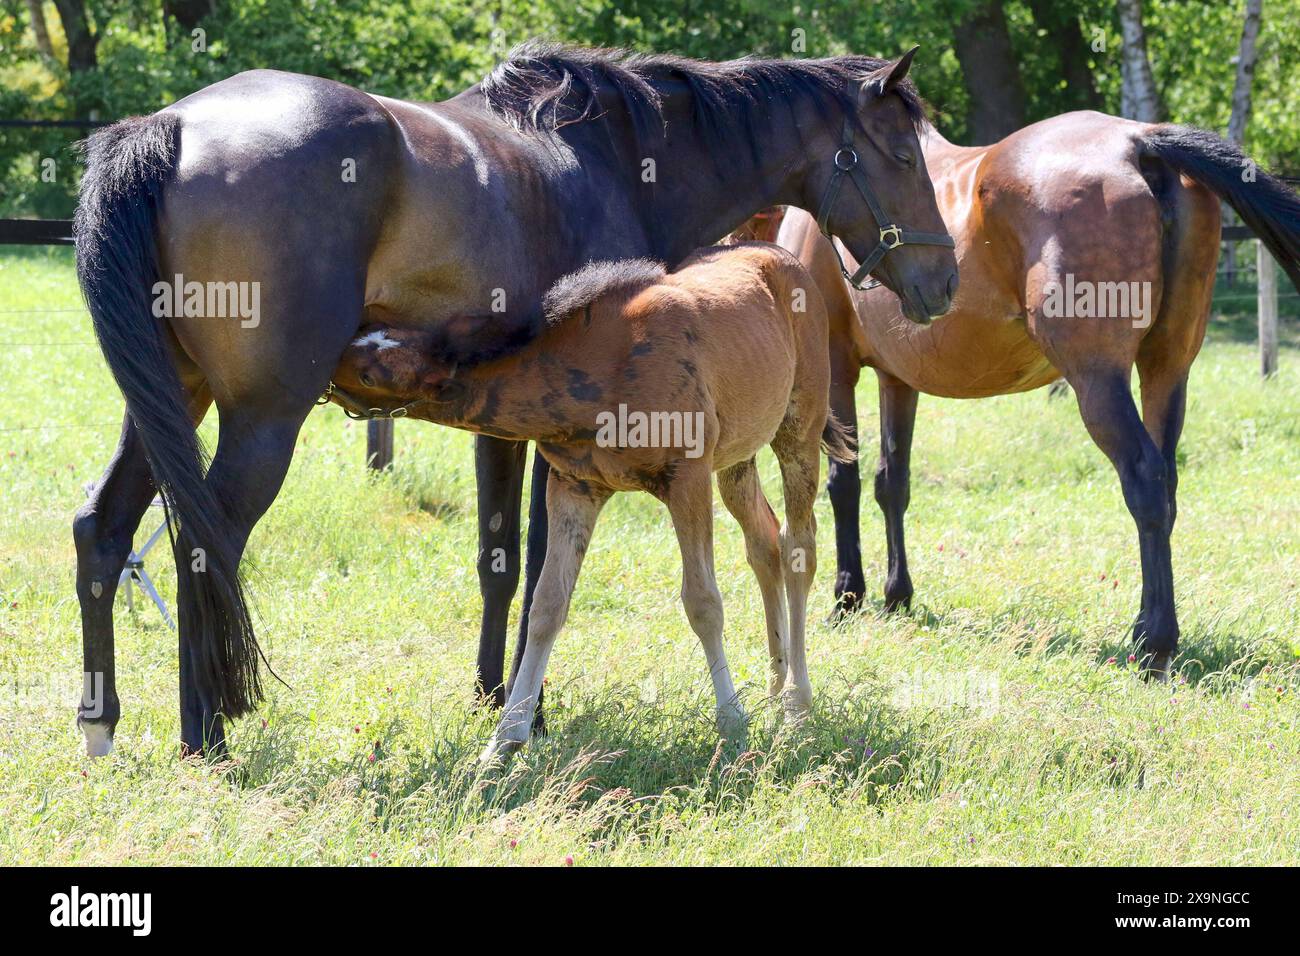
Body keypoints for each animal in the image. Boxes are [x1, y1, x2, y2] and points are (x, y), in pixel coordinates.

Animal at [328, 244, 853, 760]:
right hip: (737, 457)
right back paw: (774, 687)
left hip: (798, 431)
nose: (325, 365)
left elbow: (703, 602)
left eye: (370, 372)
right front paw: (504, 740)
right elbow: (546, 606)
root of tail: (783, 258)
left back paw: (797, 707)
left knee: (799, 547)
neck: (604, 365)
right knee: (763, 540)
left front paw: (732, 726)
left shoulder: (686, 476)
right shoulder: (574, 485)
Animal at [775, 112, 1300, 675]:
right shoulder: (898, 379)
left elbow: (843, 483)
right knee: (1168, 483)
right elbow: (892, 483)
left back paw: (1152, 641)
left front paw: (847, 598)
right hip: (1167, 368)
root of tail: (1138, 143)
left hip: (1097, 380)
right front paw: (897, 595)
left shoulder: (838, 368)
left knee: (1145, 478)